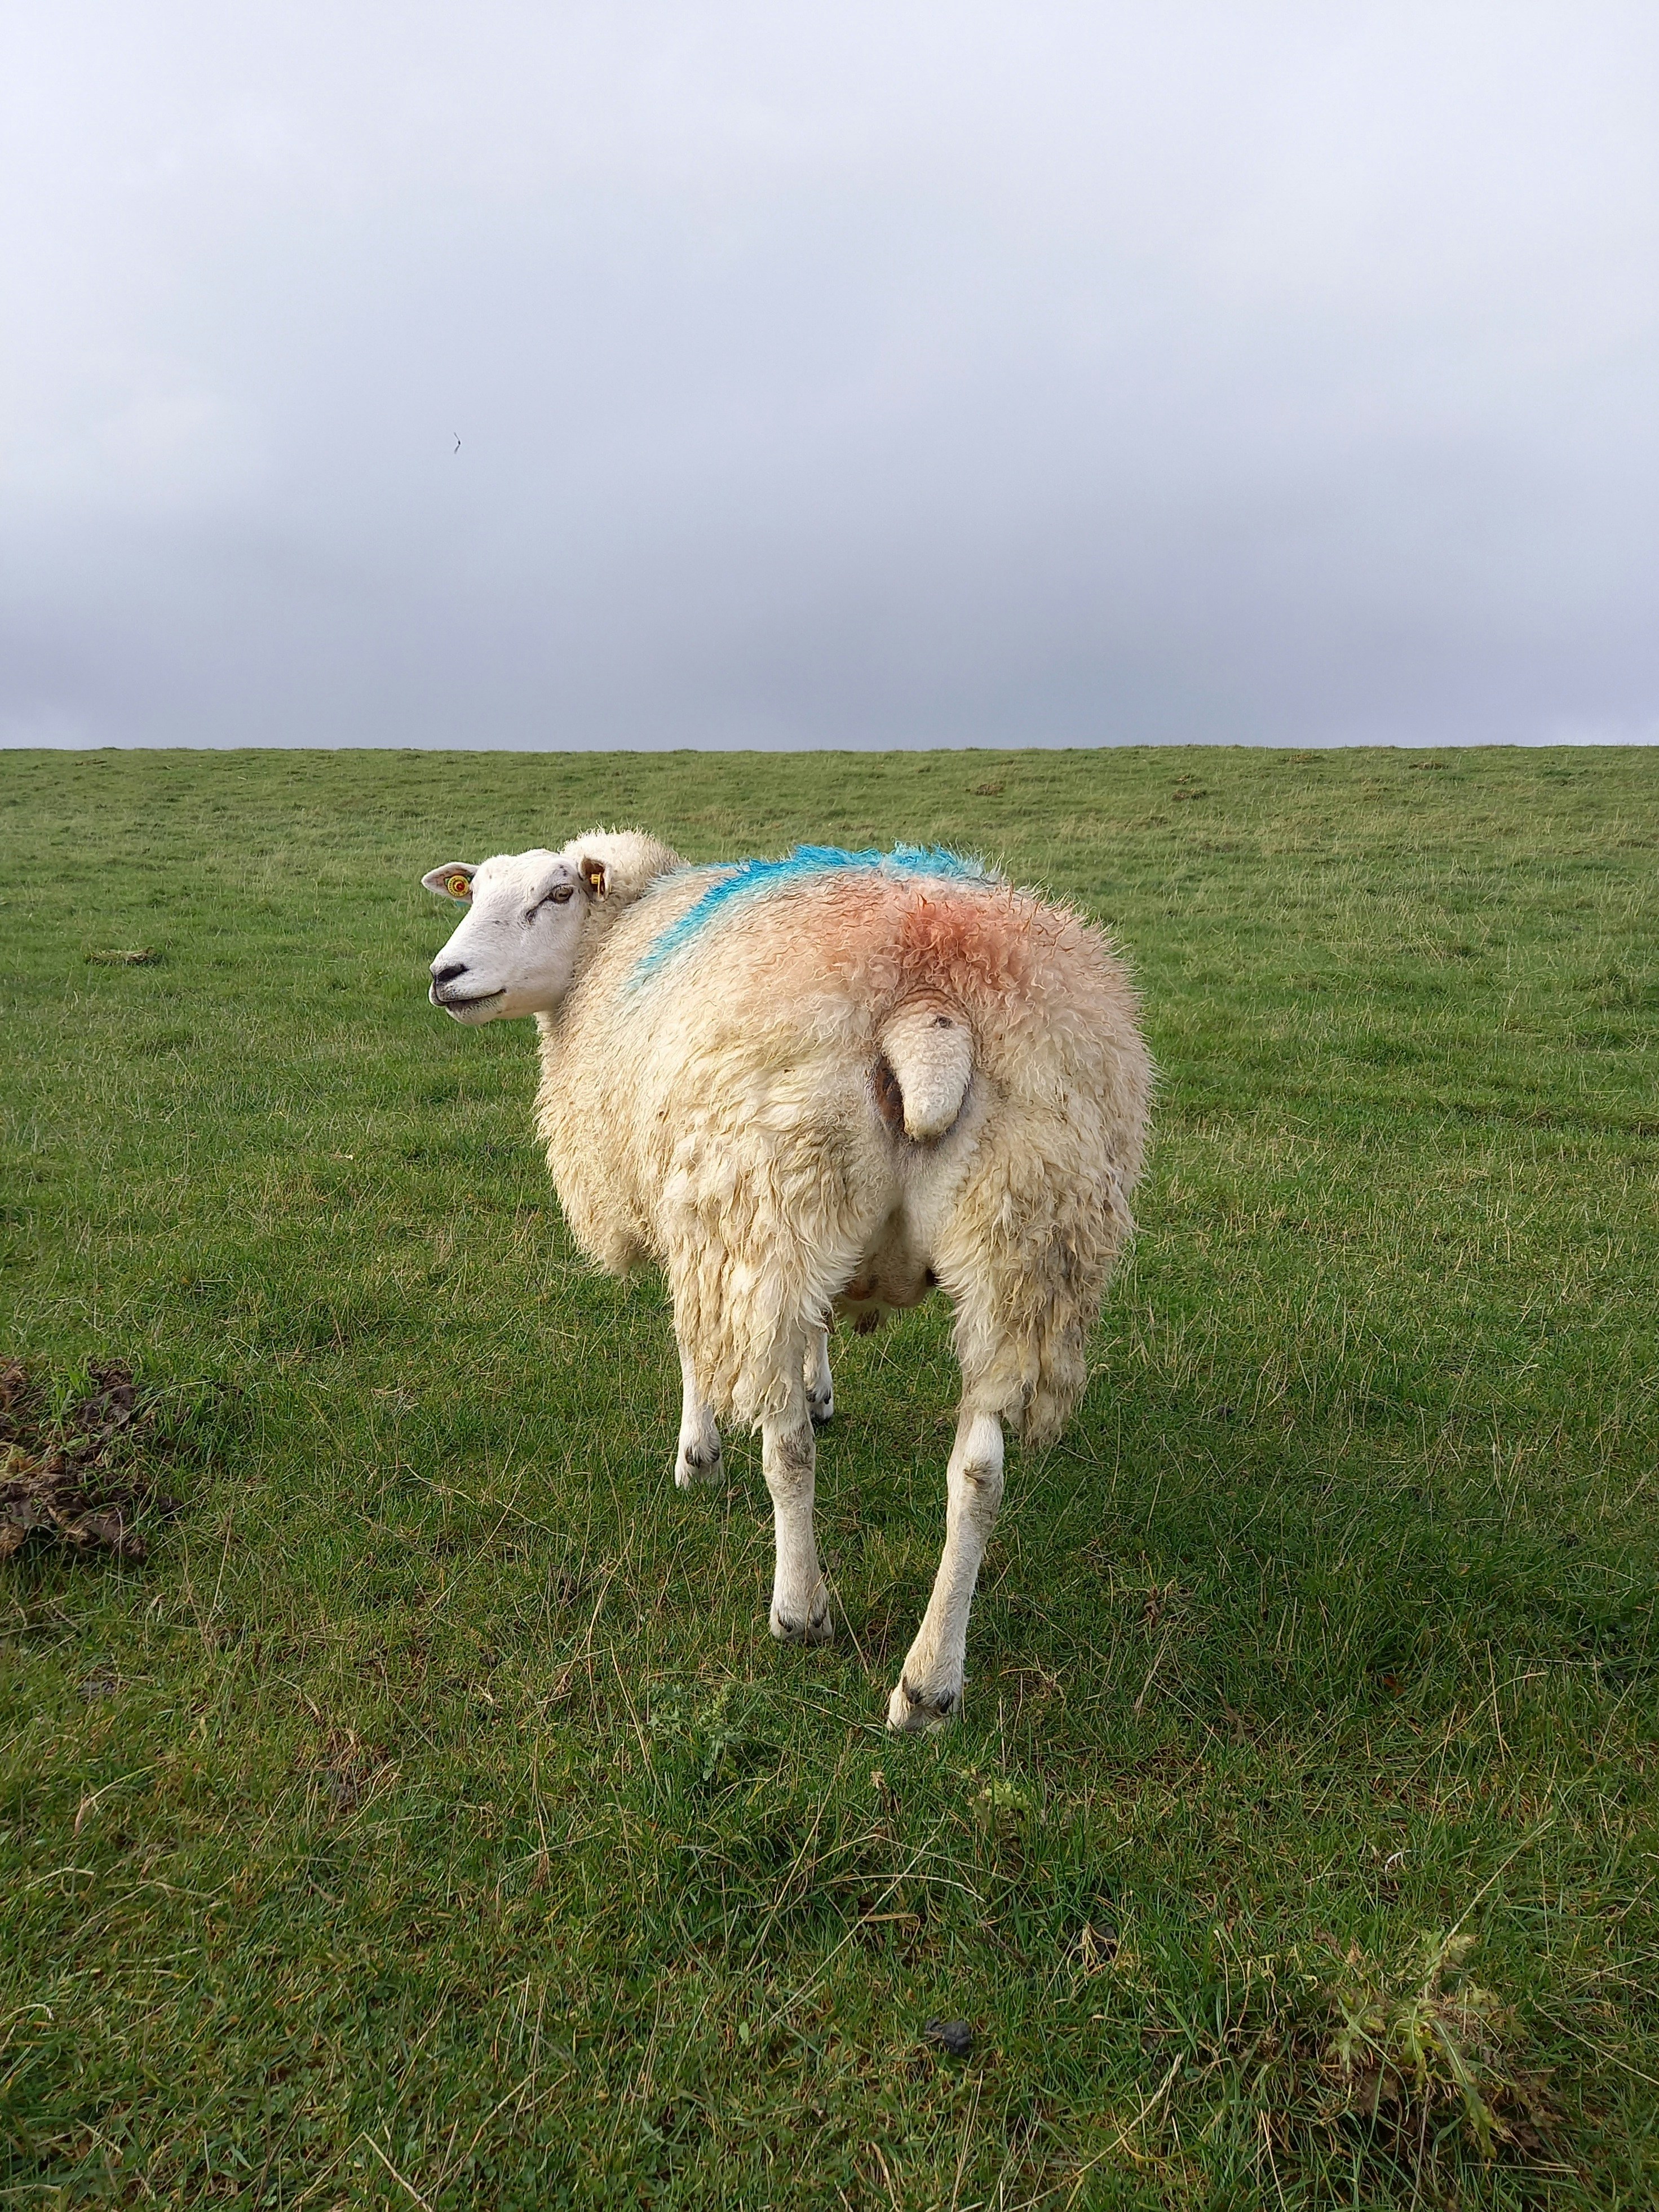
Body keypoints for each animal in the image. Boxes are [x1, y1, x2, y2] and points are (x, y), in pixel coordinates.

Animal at [423, 829, 1151, 1729]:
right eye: (475, 891)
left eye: (556, 895)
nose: (444, 975)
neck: (614, 941)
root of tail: (931, 1005)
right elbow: (818, 1324)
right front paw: (820, 1385)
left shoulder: (696, 1217)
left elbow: (693, 1344)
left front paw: (697, 1457)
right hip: (1025, 1237)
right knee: (979, 1474)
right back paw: (929, 1684)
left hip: (767, 1195)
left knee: (790, 1452)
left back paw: (799, 1610)